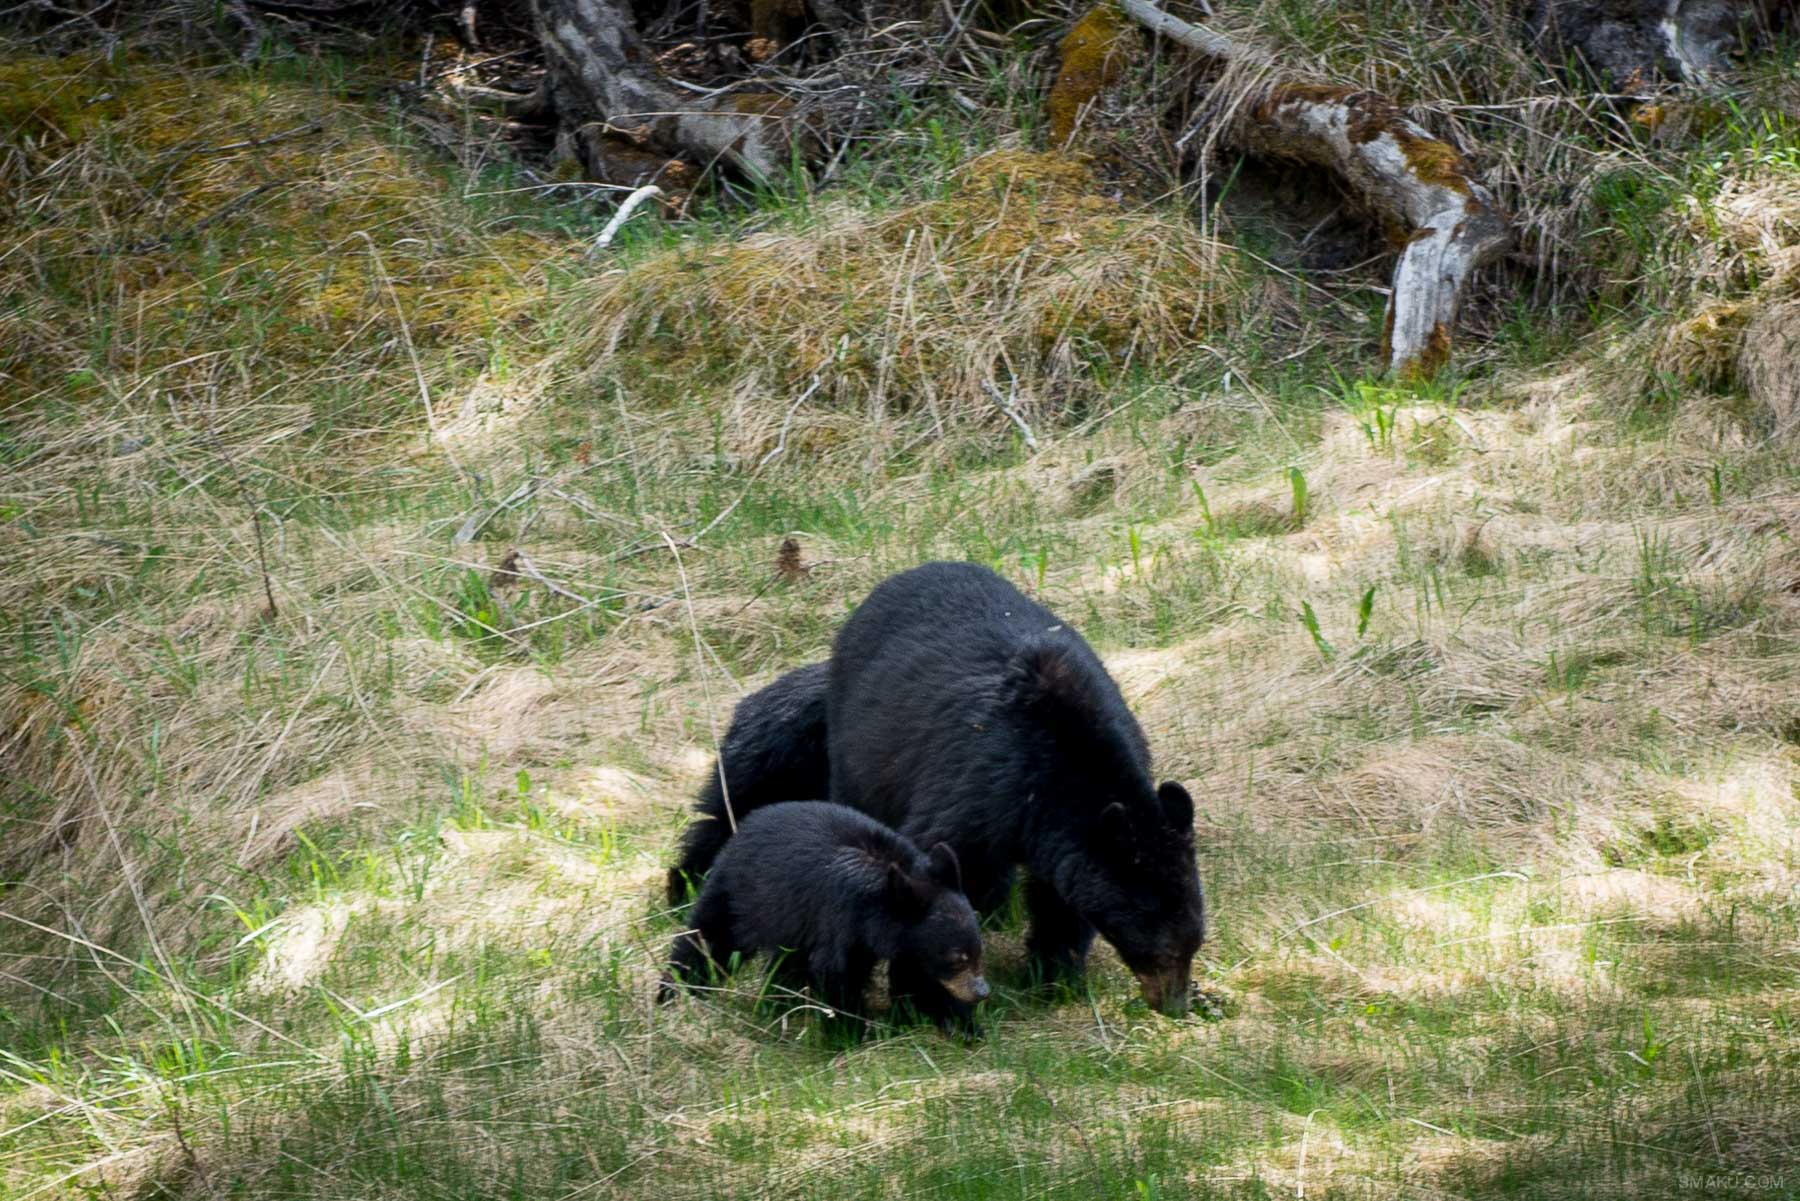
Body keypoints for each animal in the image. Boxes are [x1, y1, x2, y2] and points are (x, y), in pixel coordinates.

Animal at [659, 801, 988, 1030]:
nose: (982, 992)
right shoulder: (838, 922)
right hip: (737, 896)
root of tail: (747, 823)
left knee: (784, 965)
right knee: (707, 941)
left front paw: (963, 1026)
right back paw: (673, 992)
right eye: (957, 957)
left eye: (977, 952)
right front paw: (850, 1032)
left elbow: (920, 979)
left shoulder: (909, 946)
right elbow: (837, 973)